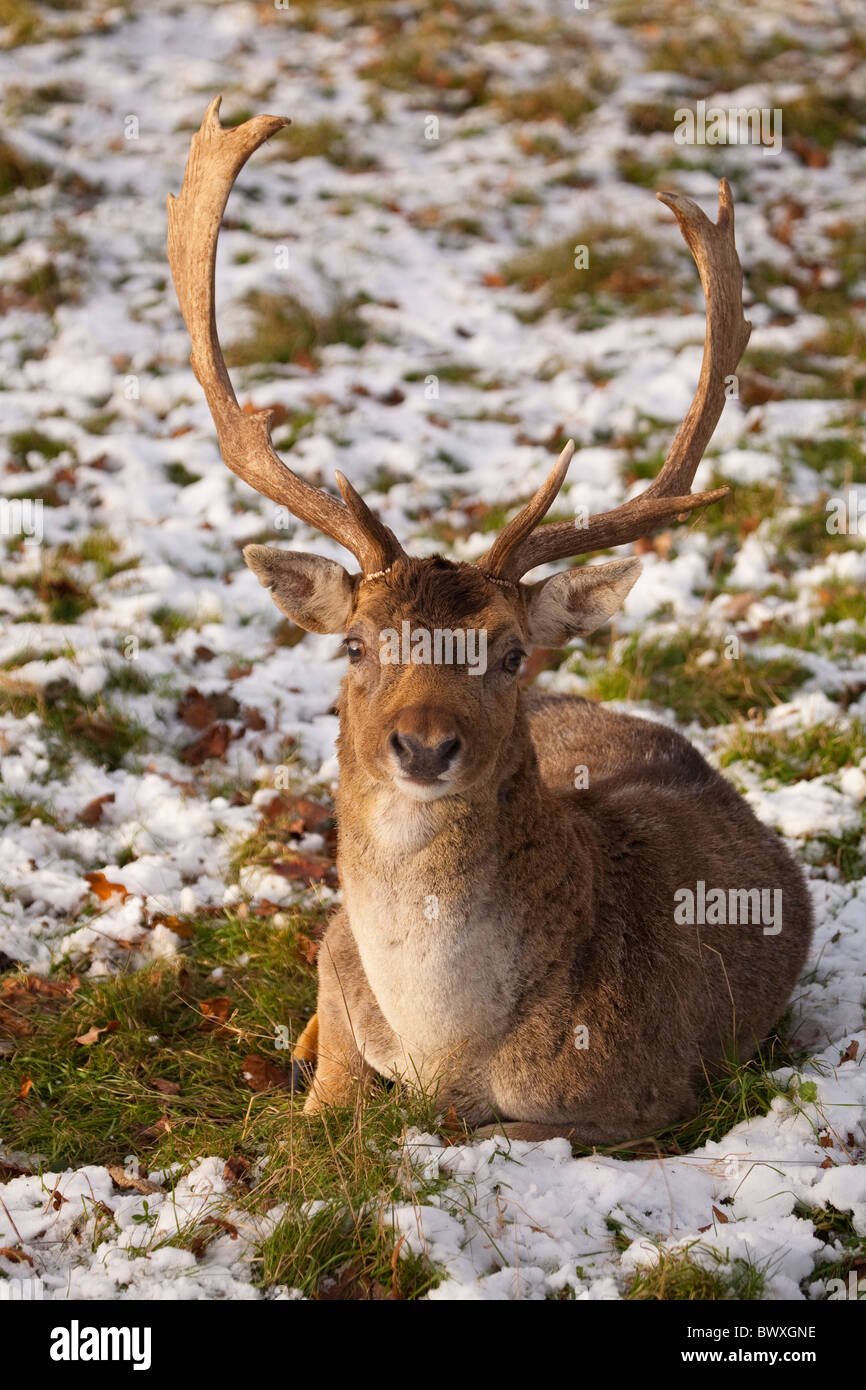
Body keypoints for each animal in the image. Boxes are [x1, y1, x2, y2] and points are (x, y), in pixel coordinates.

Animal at [167, 99, 813, 1144]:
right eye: (357, 644)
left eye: (510, 653)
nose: (424, 746)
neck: (446, 1049)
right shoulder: (341, 964)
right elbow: (329, 1092)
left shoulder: (637, 1101)